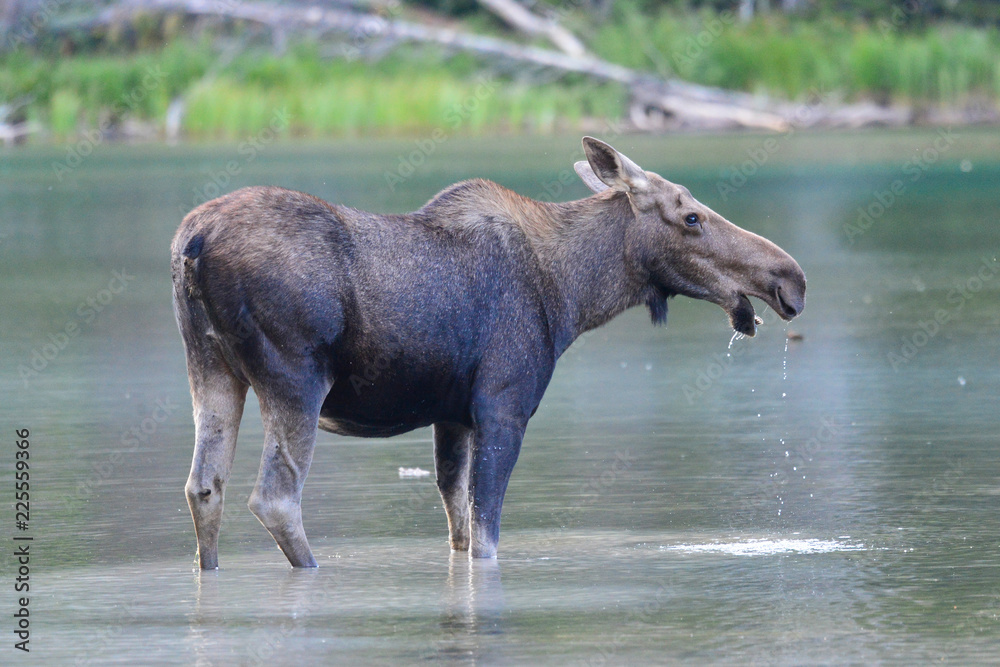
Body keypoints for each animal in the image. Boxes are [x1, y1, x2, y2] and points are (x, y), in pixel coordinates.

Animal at [171, 137, 806, 569]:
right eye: (691, 216)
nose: (790, 279)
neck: (574, 295)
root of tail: (192, 244)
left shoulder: (451, 414)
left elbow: (456, 522)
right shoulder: (504, 406)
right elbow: (486, 534)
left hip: (210, 368)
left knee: (204, 487)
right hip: (296, 376)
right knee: (275, 499)